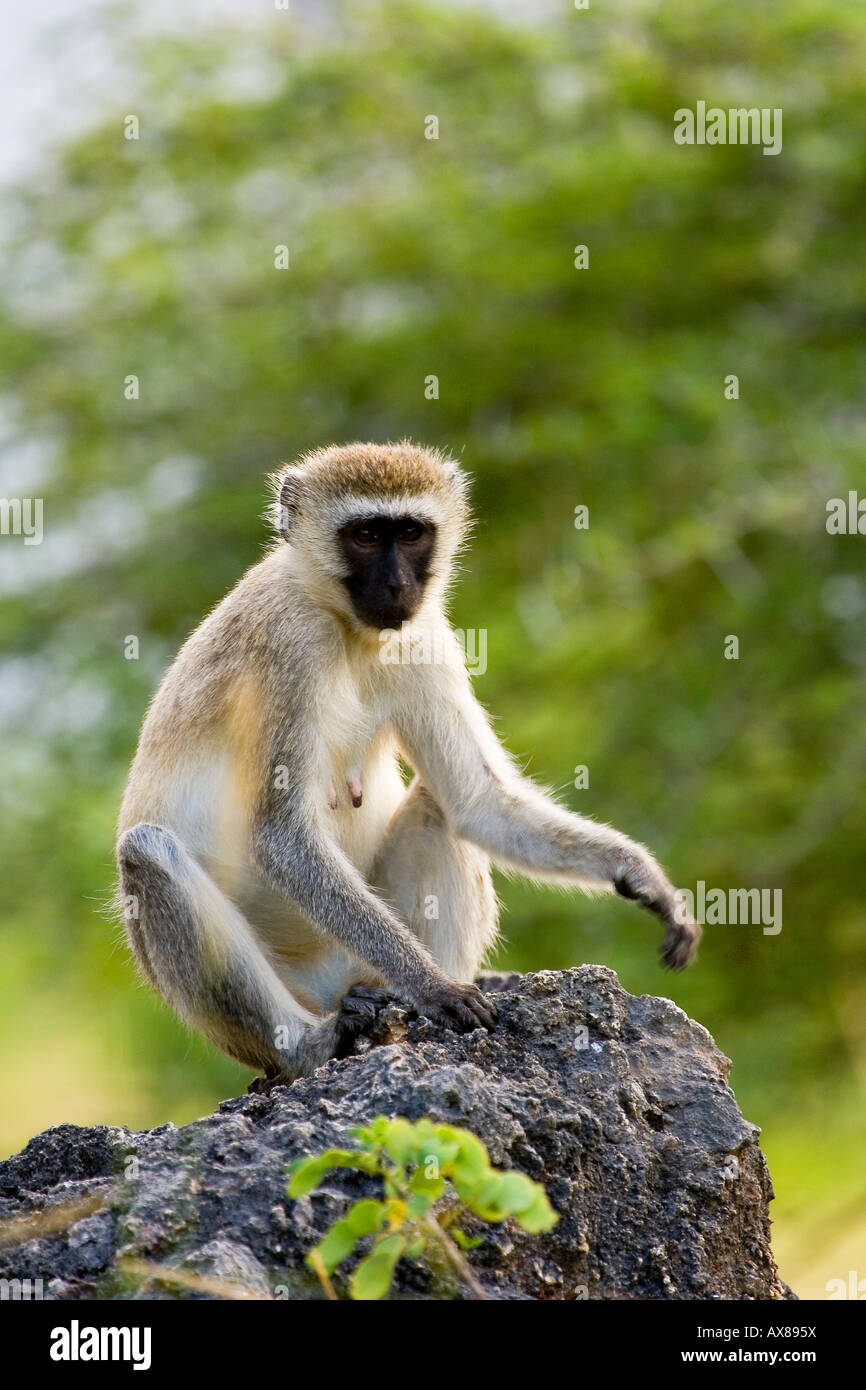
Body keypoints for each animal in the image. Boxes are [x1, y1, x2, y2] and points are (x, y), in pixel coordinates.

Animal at [116, 440, 700, 1082]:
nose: (398, 583)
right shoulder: (288, 639)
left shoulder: (425, 634)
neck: (346, 627)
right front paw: (433, 987)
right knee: (146, 851)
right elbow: (281, 835)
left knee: (439, 806)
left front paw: (638, 872)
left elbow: (477, 803)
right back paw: (309, 1045)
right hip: (290, 987)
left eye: (412, 533)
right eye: (367, 535)